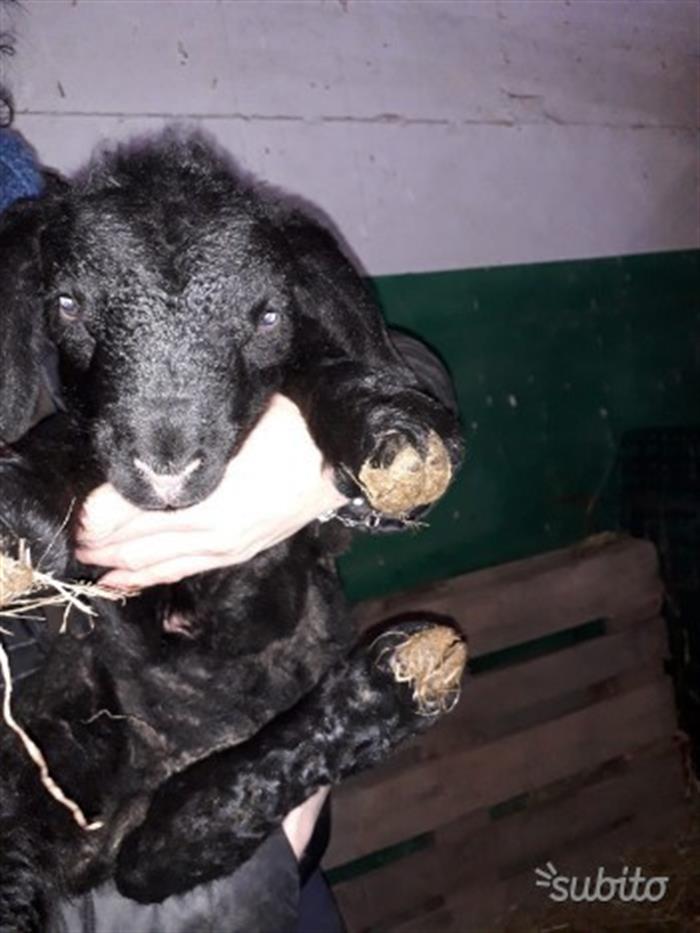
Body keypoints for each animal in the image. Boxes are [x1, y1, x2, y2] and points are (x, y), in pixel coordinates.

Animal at [0, 131, 466, 931]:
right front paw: (20, 511)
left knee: (165, 845)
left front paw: (392, 438)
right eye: (66, 303)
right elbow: (74, 432)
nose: (167, 470)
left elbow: (321, 365)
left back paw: (396, 682)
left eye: (268, 315)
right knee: (157, 850)